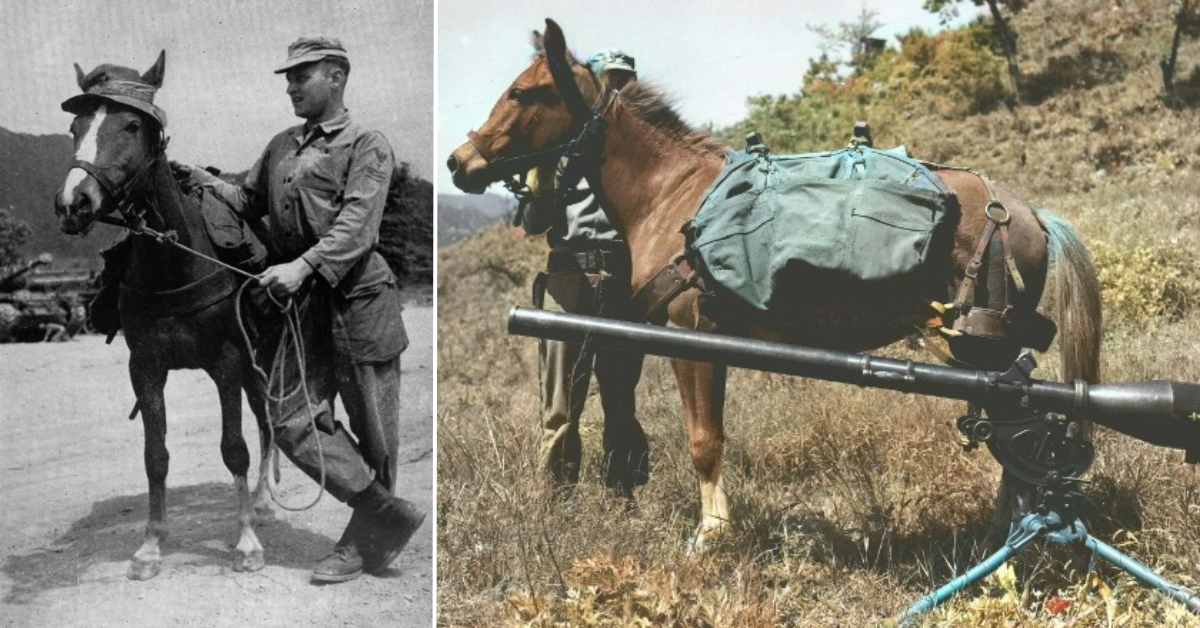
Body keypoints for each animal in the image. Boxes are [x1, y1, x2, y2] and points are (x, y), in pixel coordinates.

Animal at [54, 51, 276, 580]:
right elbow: (155, 456)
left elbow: (234, 448)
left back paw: (261, 502)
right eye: (75, 126)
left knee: (265, 423)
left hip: (258, 362)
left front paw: (246, 542)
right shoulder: (146, 368)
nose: (73, 203)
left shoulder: (227, 362)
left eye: (133, 125)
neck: (173, 259)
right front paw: (151, 545)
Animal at [447, 19, 1102, 549]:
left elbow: (703, 439)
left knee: (1020, 440)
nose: (458, 162)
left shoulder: (693, 340)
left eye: (521, 92)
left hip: (983, 349)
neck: (671, 191)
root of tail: (1027, 212)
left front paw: (713, 535)